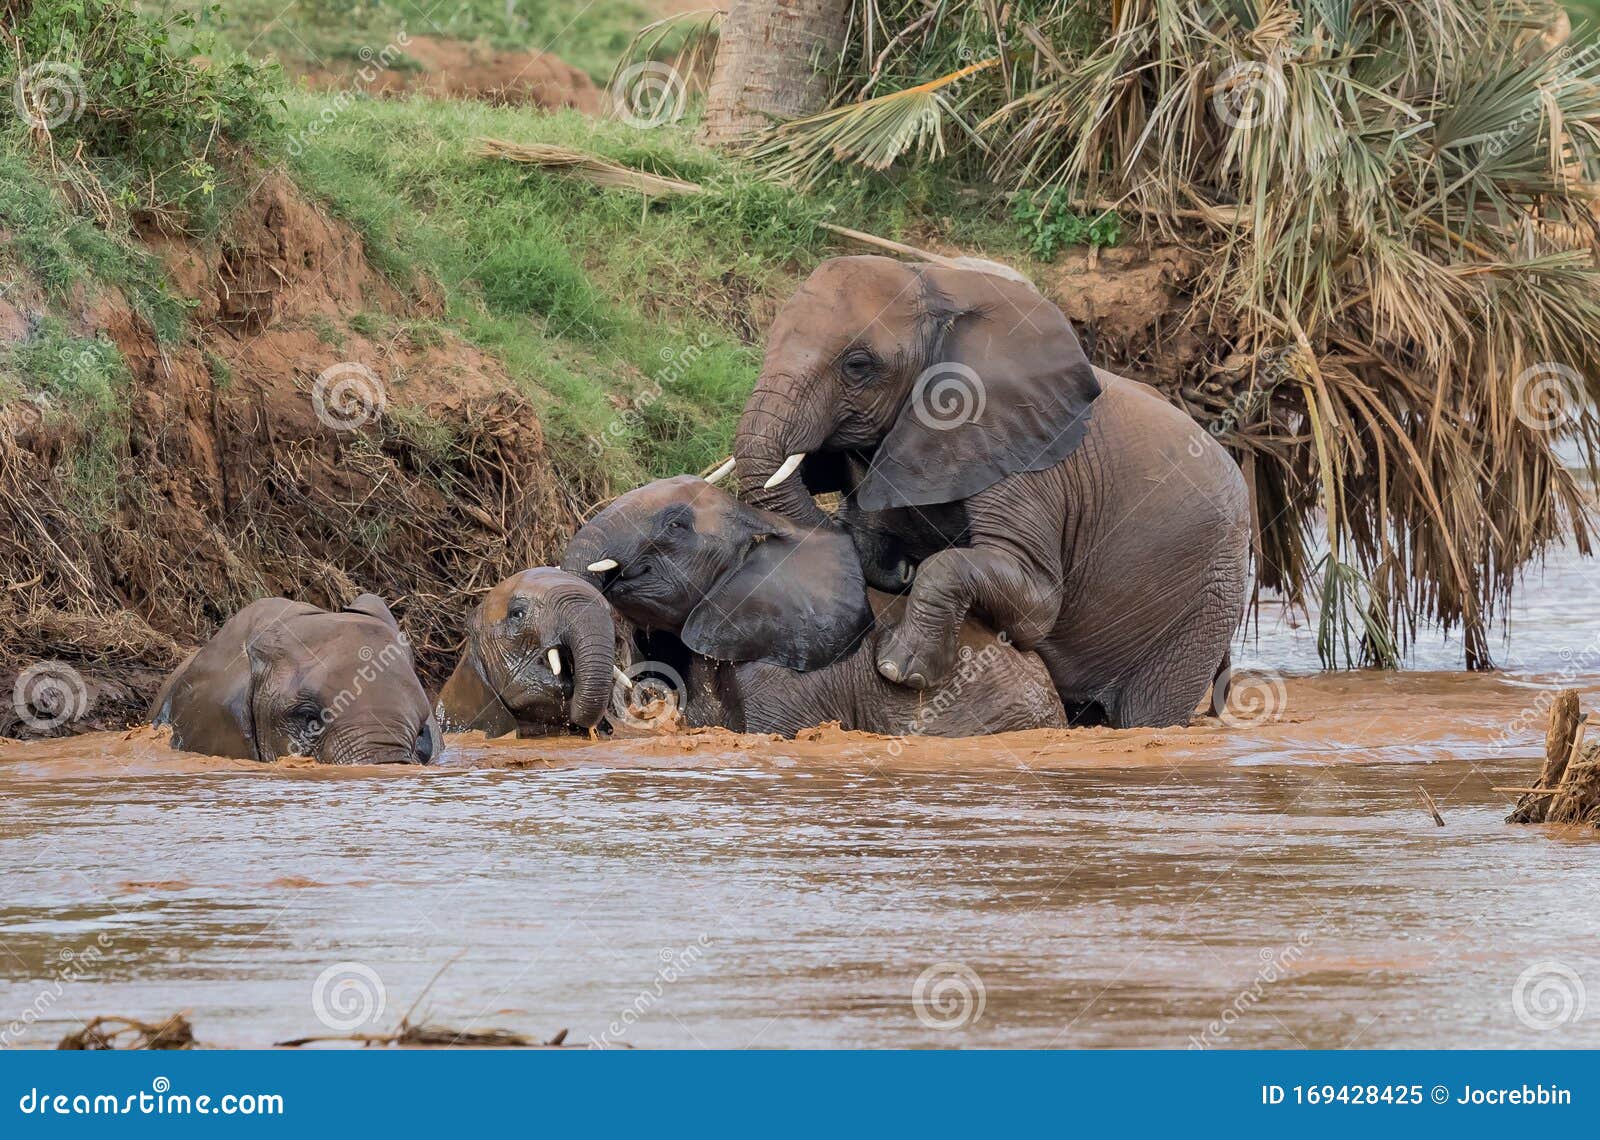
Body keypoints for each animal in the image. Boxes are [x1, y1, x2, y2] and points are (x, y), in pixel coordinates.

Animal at [732, 255, 1251, 728]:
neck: (942, 289)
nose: (903, 570)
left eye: (858, 366)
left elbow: (1035, 602)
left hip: (1205, 597)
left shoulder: (1023, 459)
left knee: (1147, 711)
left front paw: (902, 669)